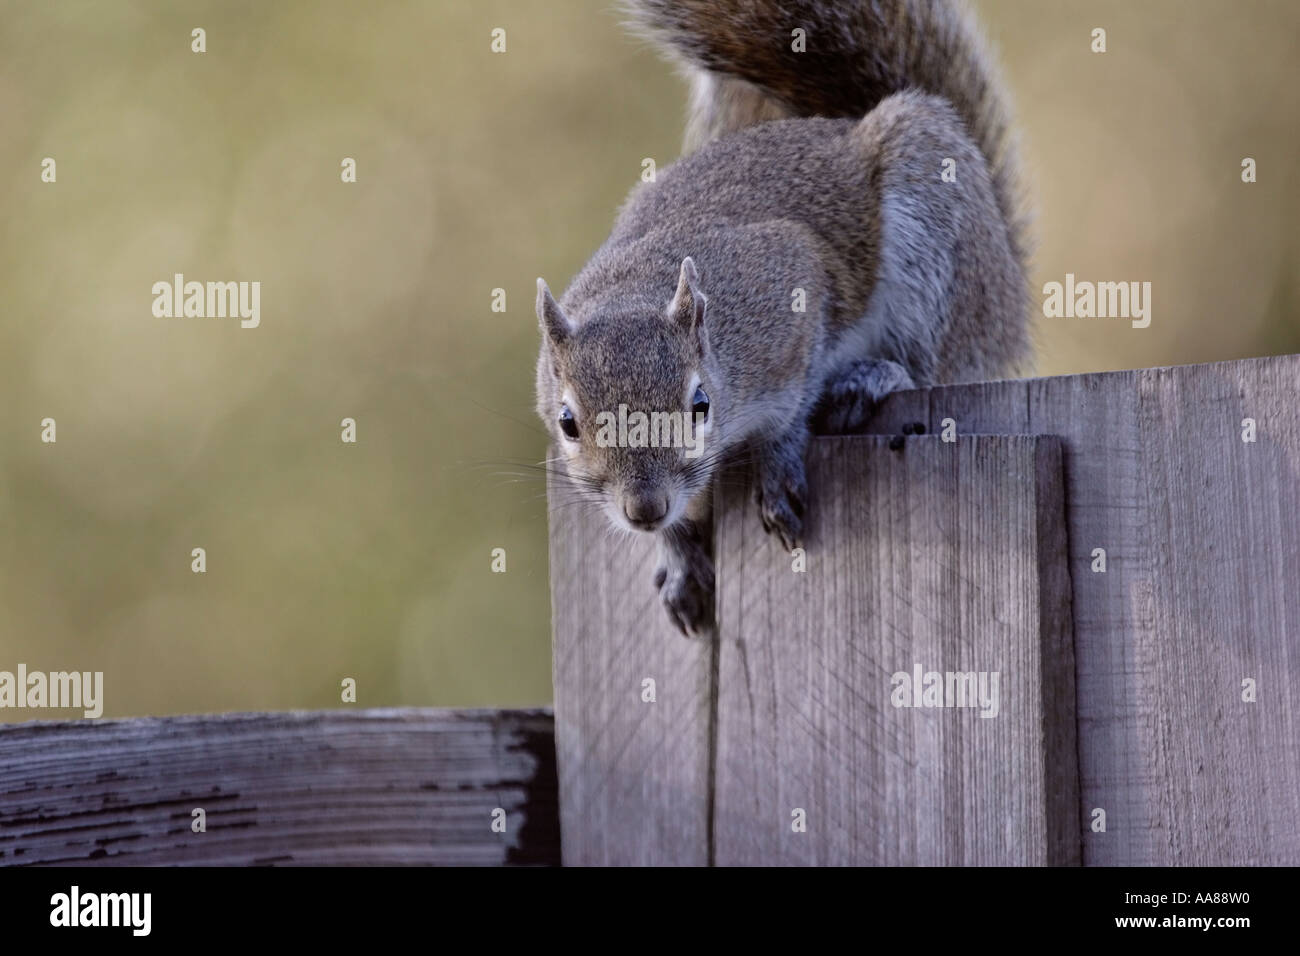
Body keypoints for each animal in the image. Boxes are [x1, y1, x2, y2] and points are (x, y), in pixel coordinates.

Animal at [535, 0, 1030, 637]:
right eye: (568, 423)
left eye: (700, 406)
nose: (645, 509)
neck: (636, 289)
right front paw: (674, 552)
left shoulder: (792, 294)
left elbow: (793, 404)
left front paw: (776, 465)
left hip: (935, 240)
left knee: (930, 363)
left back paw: (872, 376)